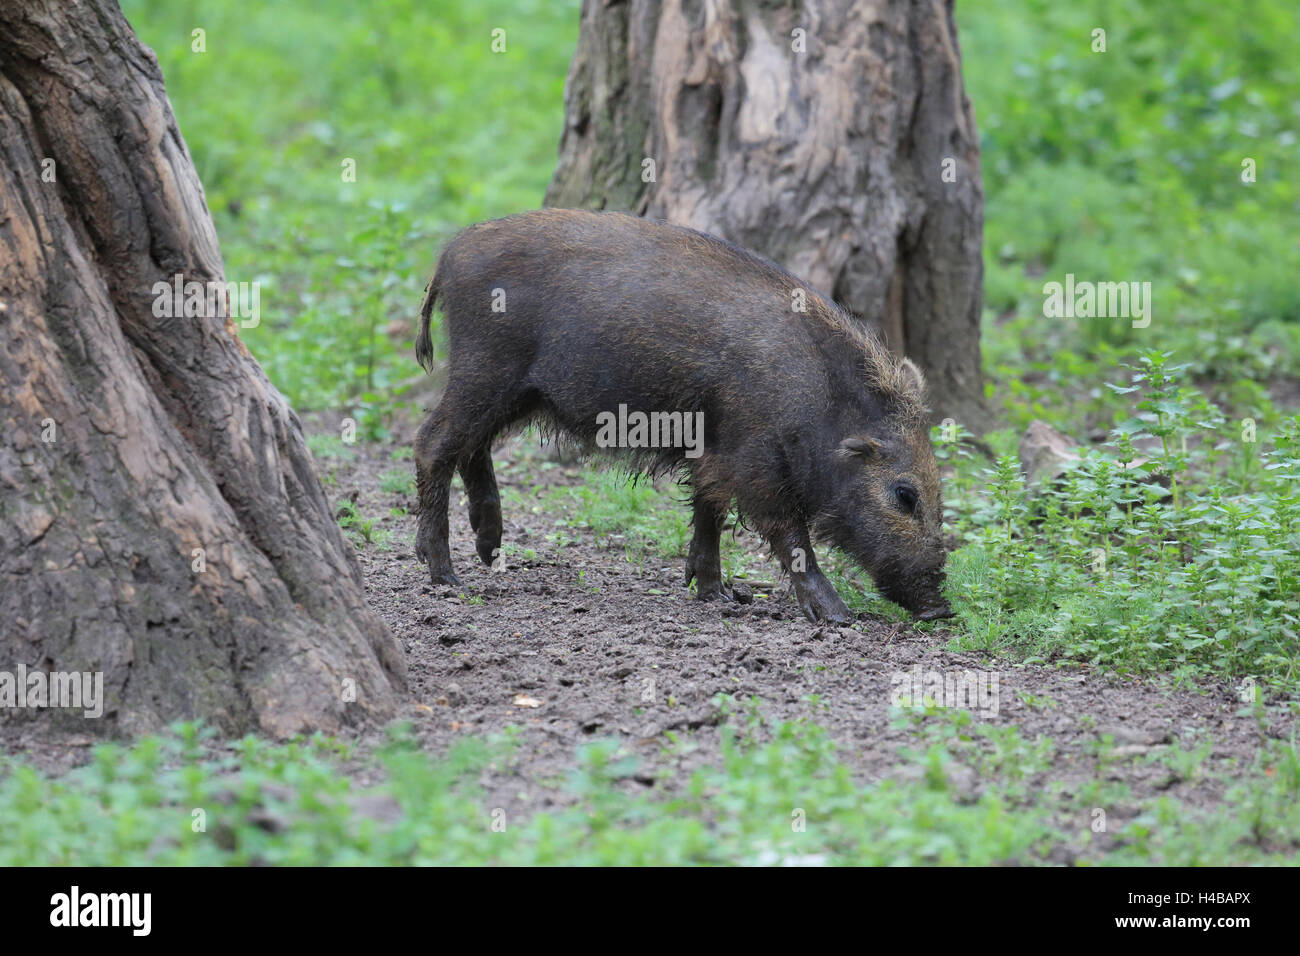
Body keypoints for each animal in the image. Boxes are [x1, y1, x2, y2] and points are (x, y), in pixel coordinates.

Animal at [412, 209, 953, 623]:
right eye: (904, 495)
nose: (940, 609)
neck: (818, 400)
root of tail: (449, 256)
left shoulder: (711, 454)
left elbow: (708, 511)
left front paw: (717, 593)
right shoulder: (753, 460)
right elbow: (785, 531)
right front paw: (836, 615)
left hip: (514, 391)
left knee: (472, 446)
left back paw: (489, 550)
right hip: (486, 369)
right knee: (432, 443)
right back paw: (445, 574)